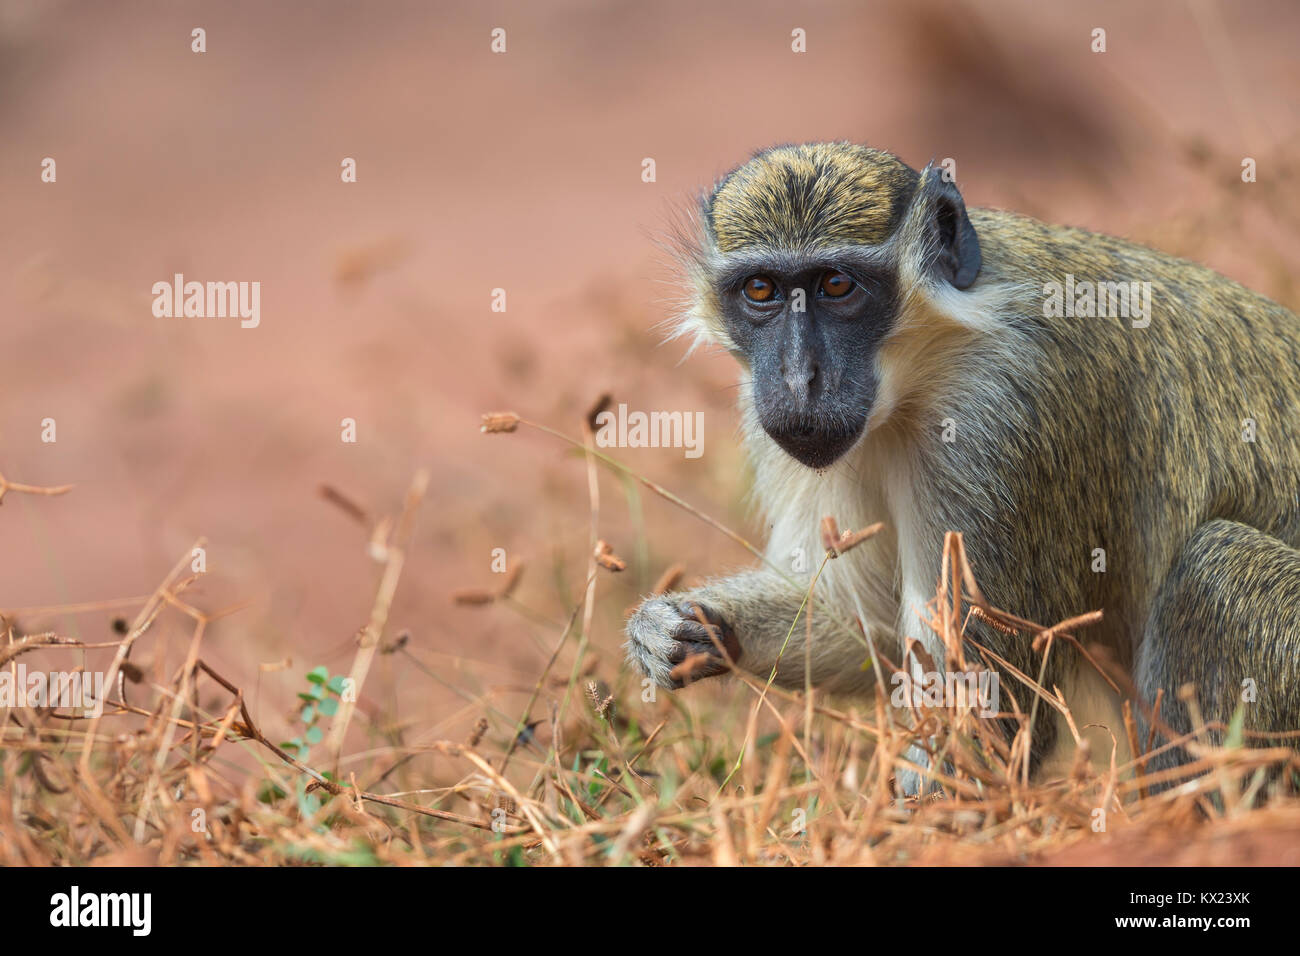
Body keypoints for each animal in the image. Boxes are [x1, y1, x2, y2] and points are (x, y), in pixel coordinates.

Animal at [624, 141, 1300, 792]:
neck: (933, 356)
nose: (797, 381)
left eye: (837, 286)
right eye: (760, 290)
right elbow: (870, 627)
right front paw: (681, 628)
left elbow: (993, 721)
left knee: (1216, 569)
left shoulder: (1000, 417)